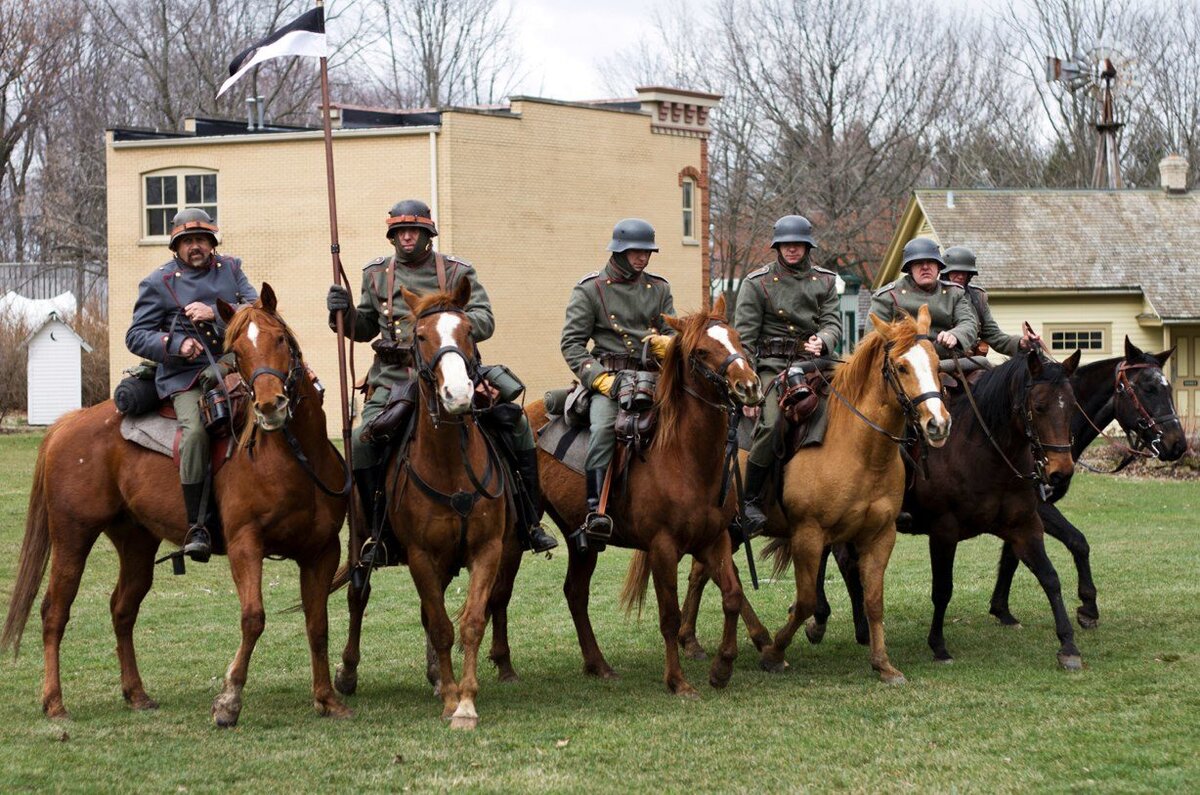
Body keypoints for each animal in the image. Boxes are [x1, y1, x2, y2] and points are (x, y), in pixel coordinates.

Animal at [2, 287, 350, 730]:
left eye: (281, 340)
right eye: (237, 351)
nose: (270, 405)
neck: (293, 458)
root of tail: (69, 422)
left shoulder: (322, 552)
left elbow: (317, 623)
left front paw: (326, 698)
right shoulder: (245, 545)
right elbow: (253, 617)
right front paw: (228, 702)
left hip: (135, 543)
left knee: (122, 609)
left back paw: (136, 693)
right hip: (72, 539)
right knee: (54, 612)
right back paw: (54, 701)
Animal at [336, 282, 508, 734]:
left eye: (469, 331)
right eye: (421, 336)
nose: (458, 395)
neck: (451, 465)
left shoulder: (487, 550)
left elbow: (469, 623)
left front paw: (464, 700)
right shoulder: (420, 555)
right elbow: (443, 626)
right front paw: (451, 701)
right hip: (363, 543)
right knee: (358, 597)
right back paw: (347, 672)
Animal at [525, 299, 758, 696]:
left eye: (737, 338)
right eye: (701, 351)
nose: (749, 386)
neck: (685, 457)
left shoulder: (716, 539)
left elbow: (731, 595)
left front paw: (722, 668)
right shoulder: (662, 548)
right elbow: (669, 616)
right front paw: (678, 681)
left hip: (581, 540)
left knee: (575, 593)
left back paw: (599, 665)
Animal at [681, 309, 950, 686]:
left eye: (938, 364)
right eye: (901, 367)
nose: (938, 424)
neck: (859, 448)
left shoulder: (880, 536)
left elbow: (874, 599)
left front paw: (883, 664)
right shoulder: (808, 535)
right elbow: (806, 600)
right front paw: (776, 653)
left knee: (702, 573)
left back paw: (696, 639)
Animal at [988, 338, 1185, 634]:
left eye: (1168, 388)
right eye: (1147, 388)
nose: (1178, 444)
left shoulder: (1021, 511)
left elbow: (1013, 556)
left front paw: (1001, 609)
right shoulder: (1038, 506)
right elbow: (1078, 541)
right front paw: (1089, 606)